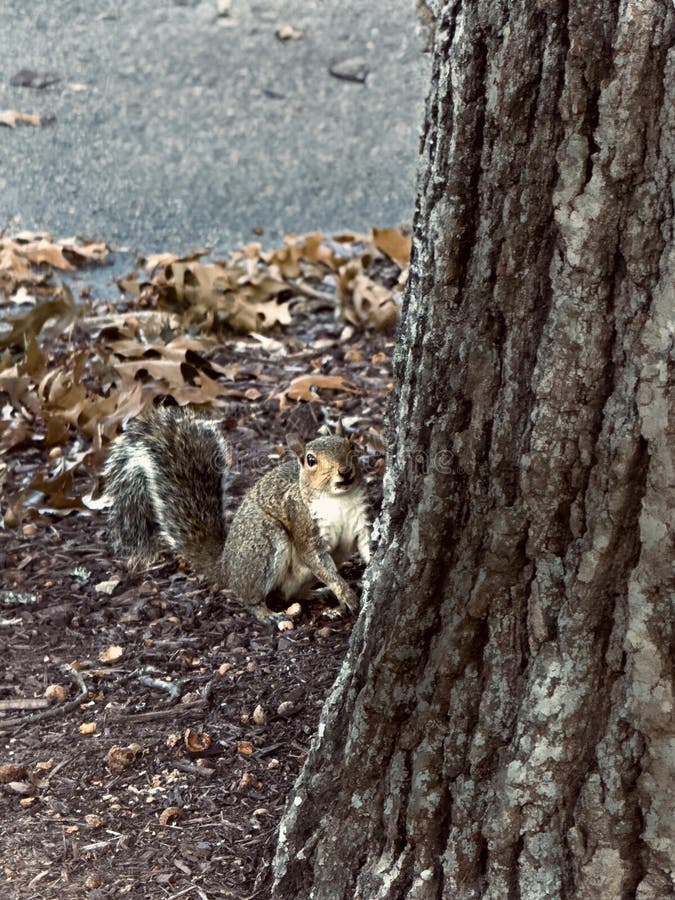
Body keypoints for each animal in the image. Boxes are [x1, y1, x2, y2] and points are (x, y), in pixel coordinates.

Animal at [103, 407, 371, 622]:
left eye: (351, 446)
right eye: (311, 460)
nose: (345, 471)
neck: (338, 500)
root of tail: (226, 568)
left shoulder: (361, 520)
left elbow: (367, 546)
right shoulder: (304, 523)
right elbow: (318, 562)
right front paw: (345, 592)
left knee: (290, 593)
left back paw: (316, 592)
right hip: (263, 545)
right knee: (252, 597)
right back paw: (268, 614)